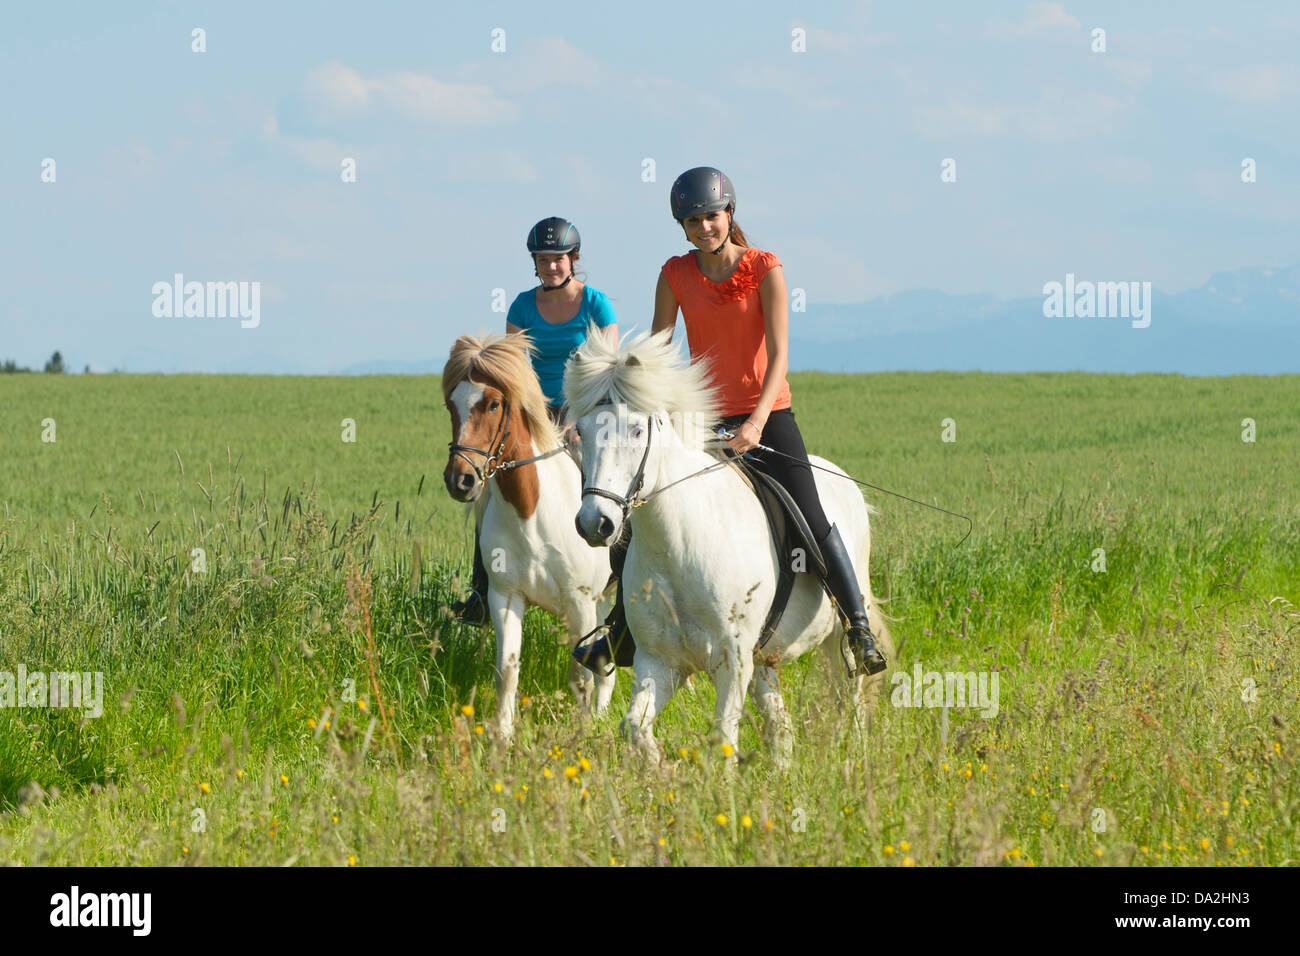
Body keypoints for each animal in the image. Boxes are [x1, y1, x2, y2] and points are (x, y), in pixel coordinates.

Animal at [441, 331, 616, 740]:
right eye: (450, 404)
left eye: (493, 403)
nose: (461, 481)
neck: (532, 515)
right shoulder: (506, 597)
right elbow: (507, 670)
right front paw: (502, 736)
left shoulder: (579, 604)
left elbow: (580, 677)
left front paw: (581, 734)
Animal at [563, 329, 894, 766]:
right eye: (581, 431)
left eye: (635, 430)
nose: (594, 523)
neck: (679, 545)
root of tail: (845, 481)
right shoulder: (659, 661)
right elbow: (634, 727)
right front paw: (658, 767)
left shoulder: (731, 660)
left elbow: (721, 739)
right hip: (762, 656)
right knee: (780, 724)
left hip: (835, 640)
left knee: (851, 702)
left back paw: (853, 758)